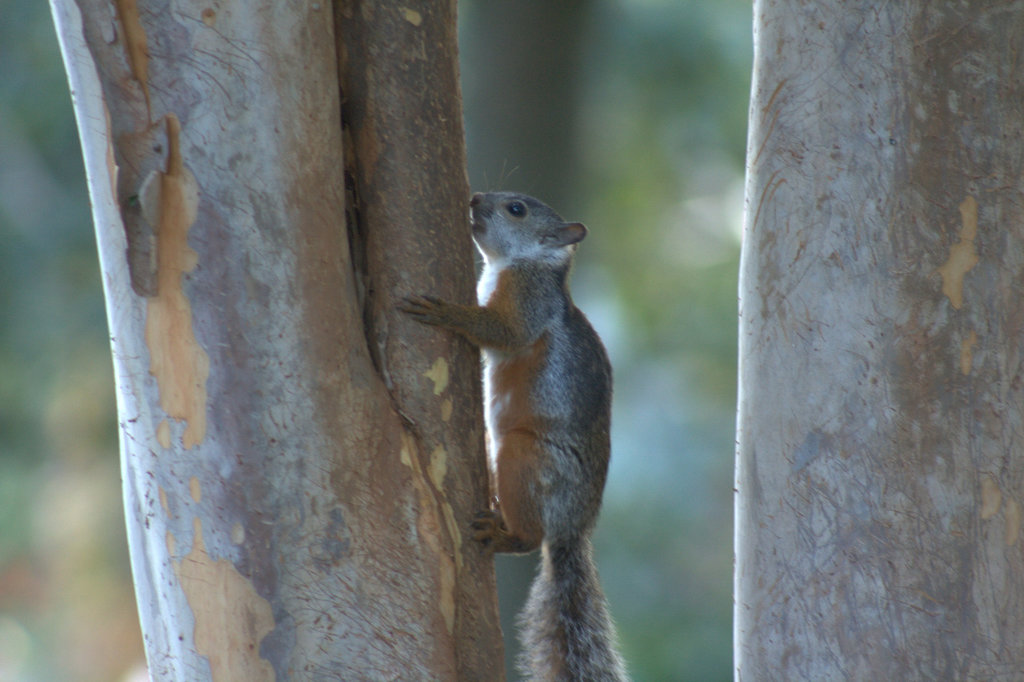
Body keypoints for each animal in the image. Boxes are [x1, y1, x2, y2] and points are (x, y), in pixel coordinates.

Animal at [401, 191, 627, 681]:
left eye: (517, 210)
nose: (474, 198)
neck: (524, 264)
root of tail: (572, 527)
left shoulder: (528, 301)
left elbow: (503, 330)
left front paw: (445, 311)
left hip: (525, 459)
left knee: (528, 539)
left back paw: (504, 534)